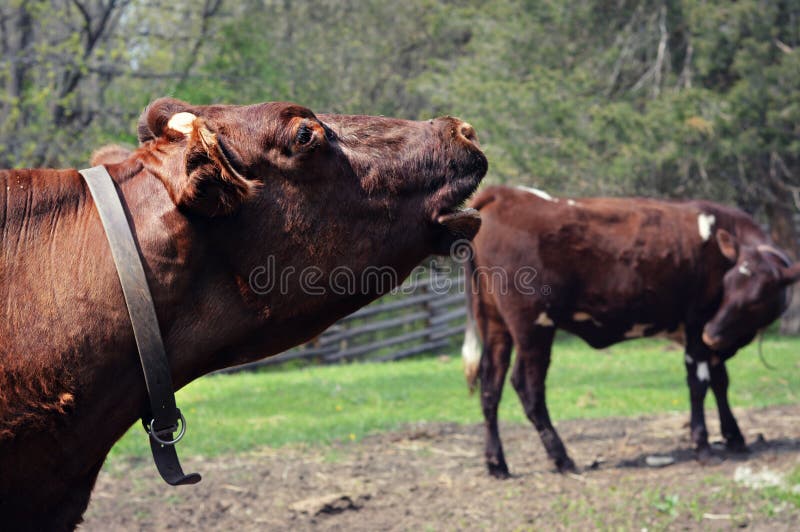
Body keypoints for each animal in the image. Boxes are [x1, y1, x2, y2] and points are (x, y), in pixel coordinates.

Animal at [461, 185, 800, 477]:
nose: (713, 333)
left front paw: (734, 437)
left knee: (490, 386)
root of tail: (504, 193)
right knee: (527, 387)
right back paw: (562, 458)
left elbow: (721, 382)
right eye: (728, 285)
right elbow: (699, 384)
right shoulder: (696, 325)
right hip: (533, 327)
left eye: (755, 297)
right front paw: (703, 445)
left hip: (496, 325)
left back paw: (497, 464)